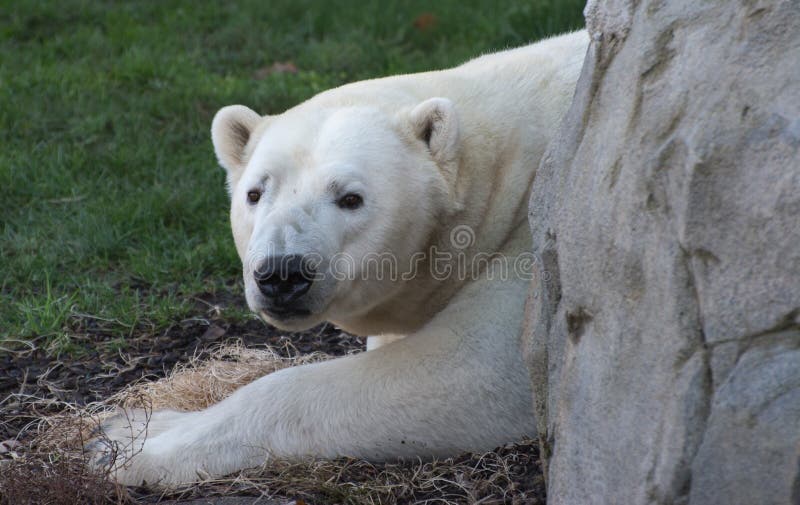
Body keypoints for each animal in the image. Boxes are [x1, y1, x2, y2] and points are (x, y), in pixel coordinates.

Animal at [87, 30, 589, 487]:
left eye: (350, 198)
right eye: (255, 193)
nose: (281, 274)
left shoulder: (534, 247)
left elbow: (471, 369)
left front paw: (132, 446)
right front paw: (136, 425)